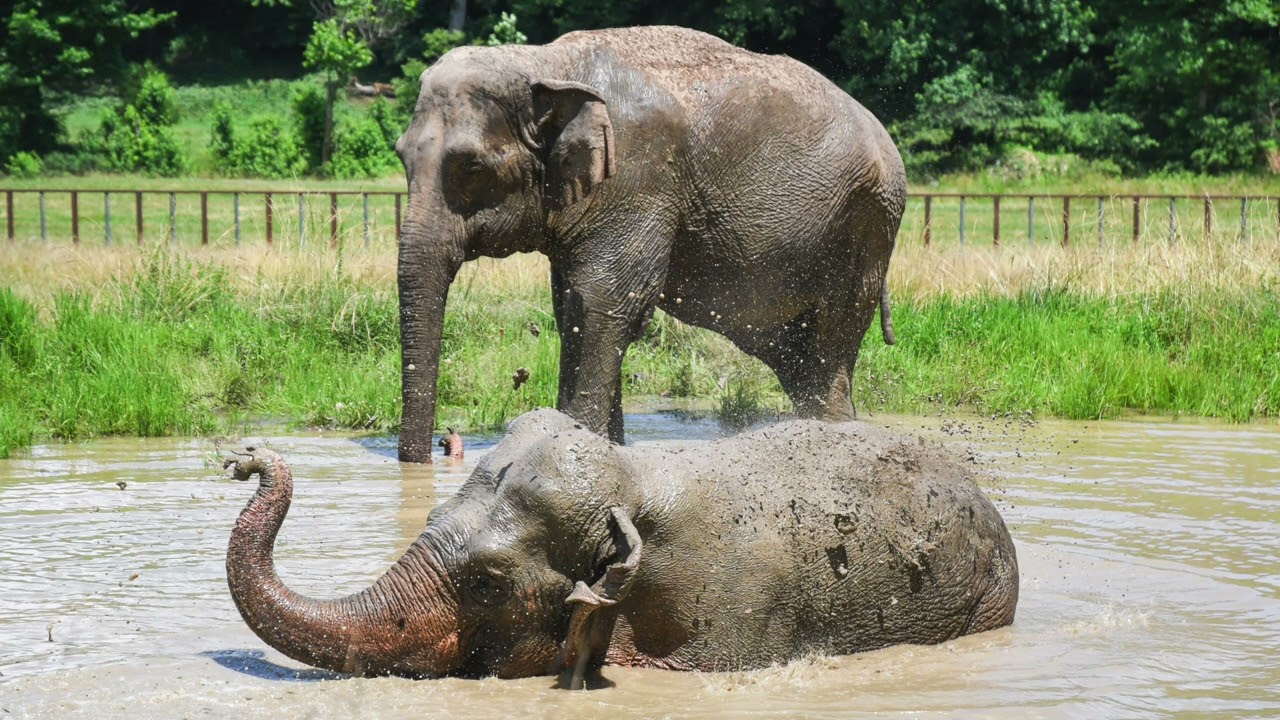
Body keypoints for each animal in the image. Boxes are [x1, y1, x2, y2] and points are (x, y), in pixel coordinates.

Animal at [224, 409, 1019, 686]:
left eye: (487, 583)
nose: (245, 455)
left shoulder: (732, 613)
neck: (635, 481)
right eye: (433, 513)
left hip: (985, 602)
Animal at [395, 25, 906, 462]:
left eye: (471, 168)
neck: (545, 63)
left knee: (828, 348)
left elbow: (602, 303)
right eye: (401, 156)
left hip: (865, 226)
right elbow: (571, 308)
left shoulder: (638, 179)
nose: (446, 444)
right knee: (796, 356)